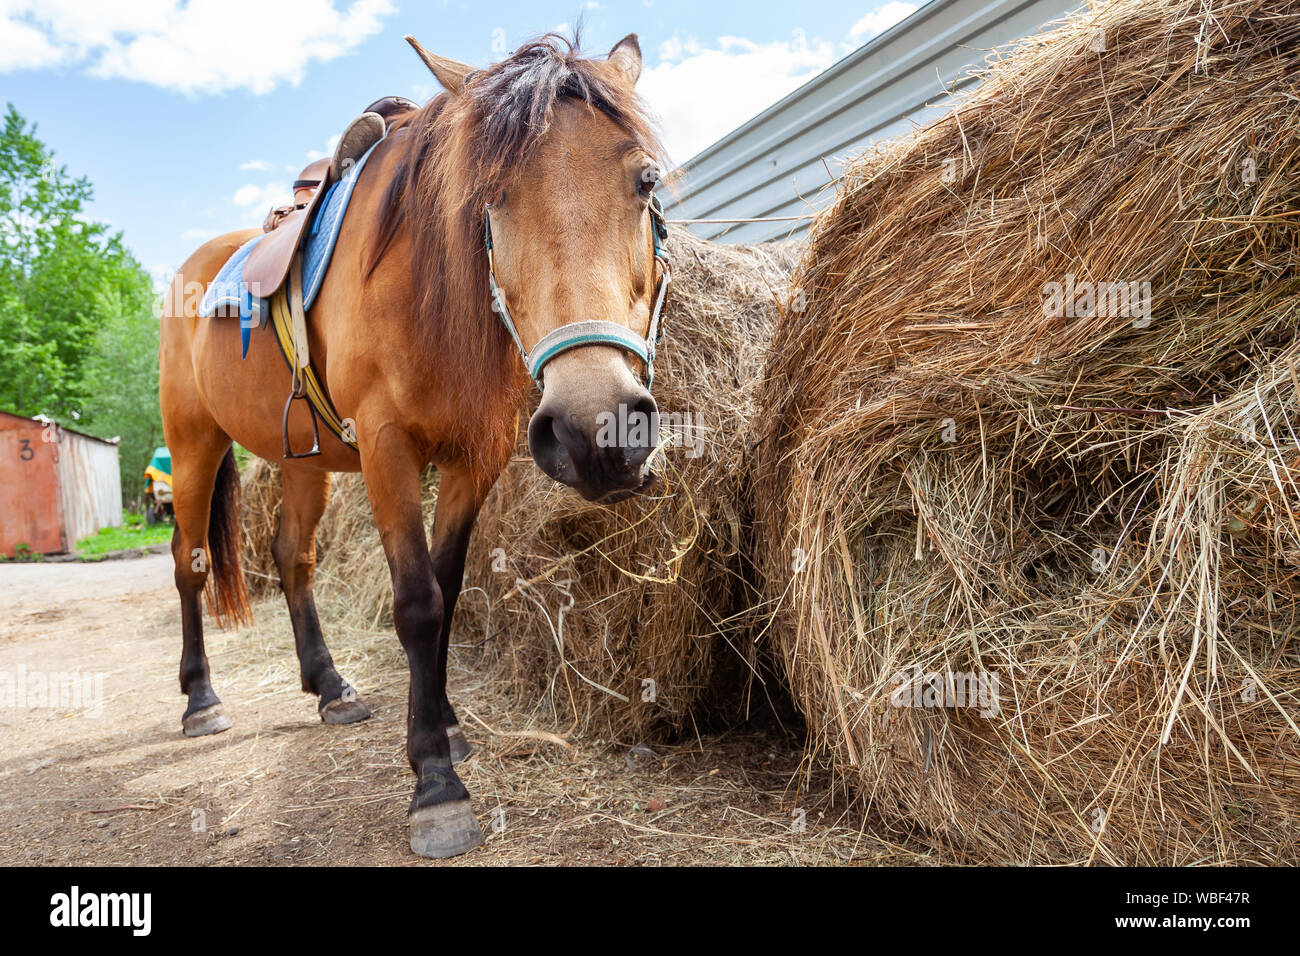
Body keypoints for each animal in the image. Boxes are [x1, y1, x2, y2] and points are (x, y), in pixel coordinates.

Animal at [159, 32, 670, 858]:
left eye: (646, 182)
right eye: (489, 196)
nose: (598, 430)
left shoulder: (476, 454)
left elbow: (448, 589)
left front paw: (445, 727)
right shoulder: (387, 449)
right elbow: (419, 603)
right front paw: (435, 782)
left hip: (302, 459)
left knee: (293, 556)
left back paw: (330, 686)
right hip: (194, 443)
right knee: (191, 563)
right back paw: (200, 698)